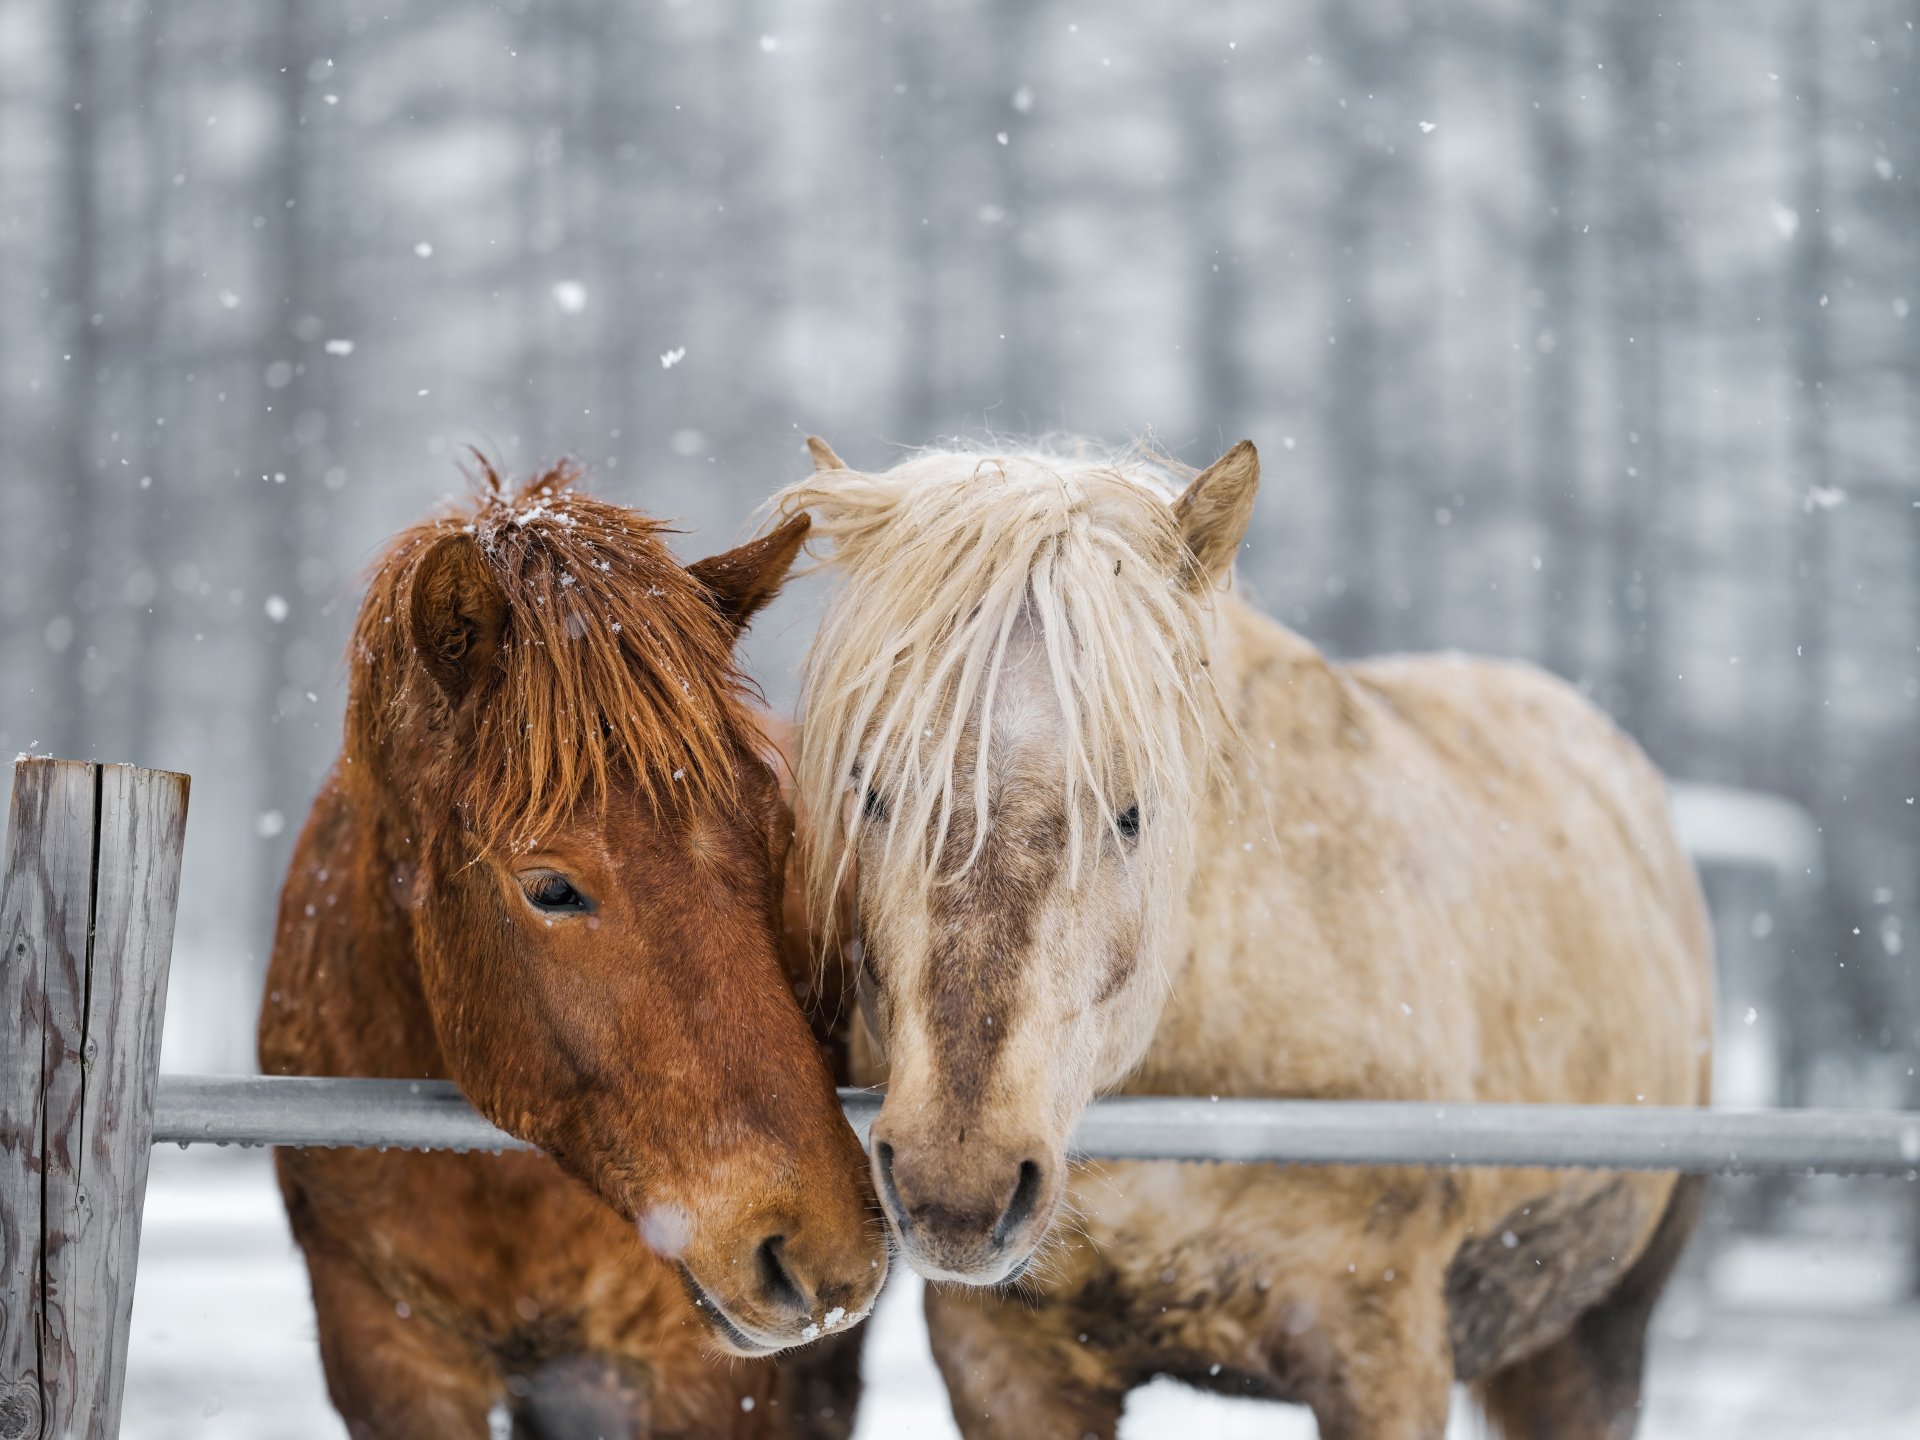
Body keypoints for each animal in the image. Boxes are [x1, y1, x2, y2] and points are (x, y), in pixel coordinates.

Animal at [775, 438, 1714, 1440]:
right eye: (871, 790)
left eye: (1133, 812)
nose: (958, 1182)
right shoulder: (1006, 1360)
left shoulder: (1384, 1354)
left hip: (1594, 1339)